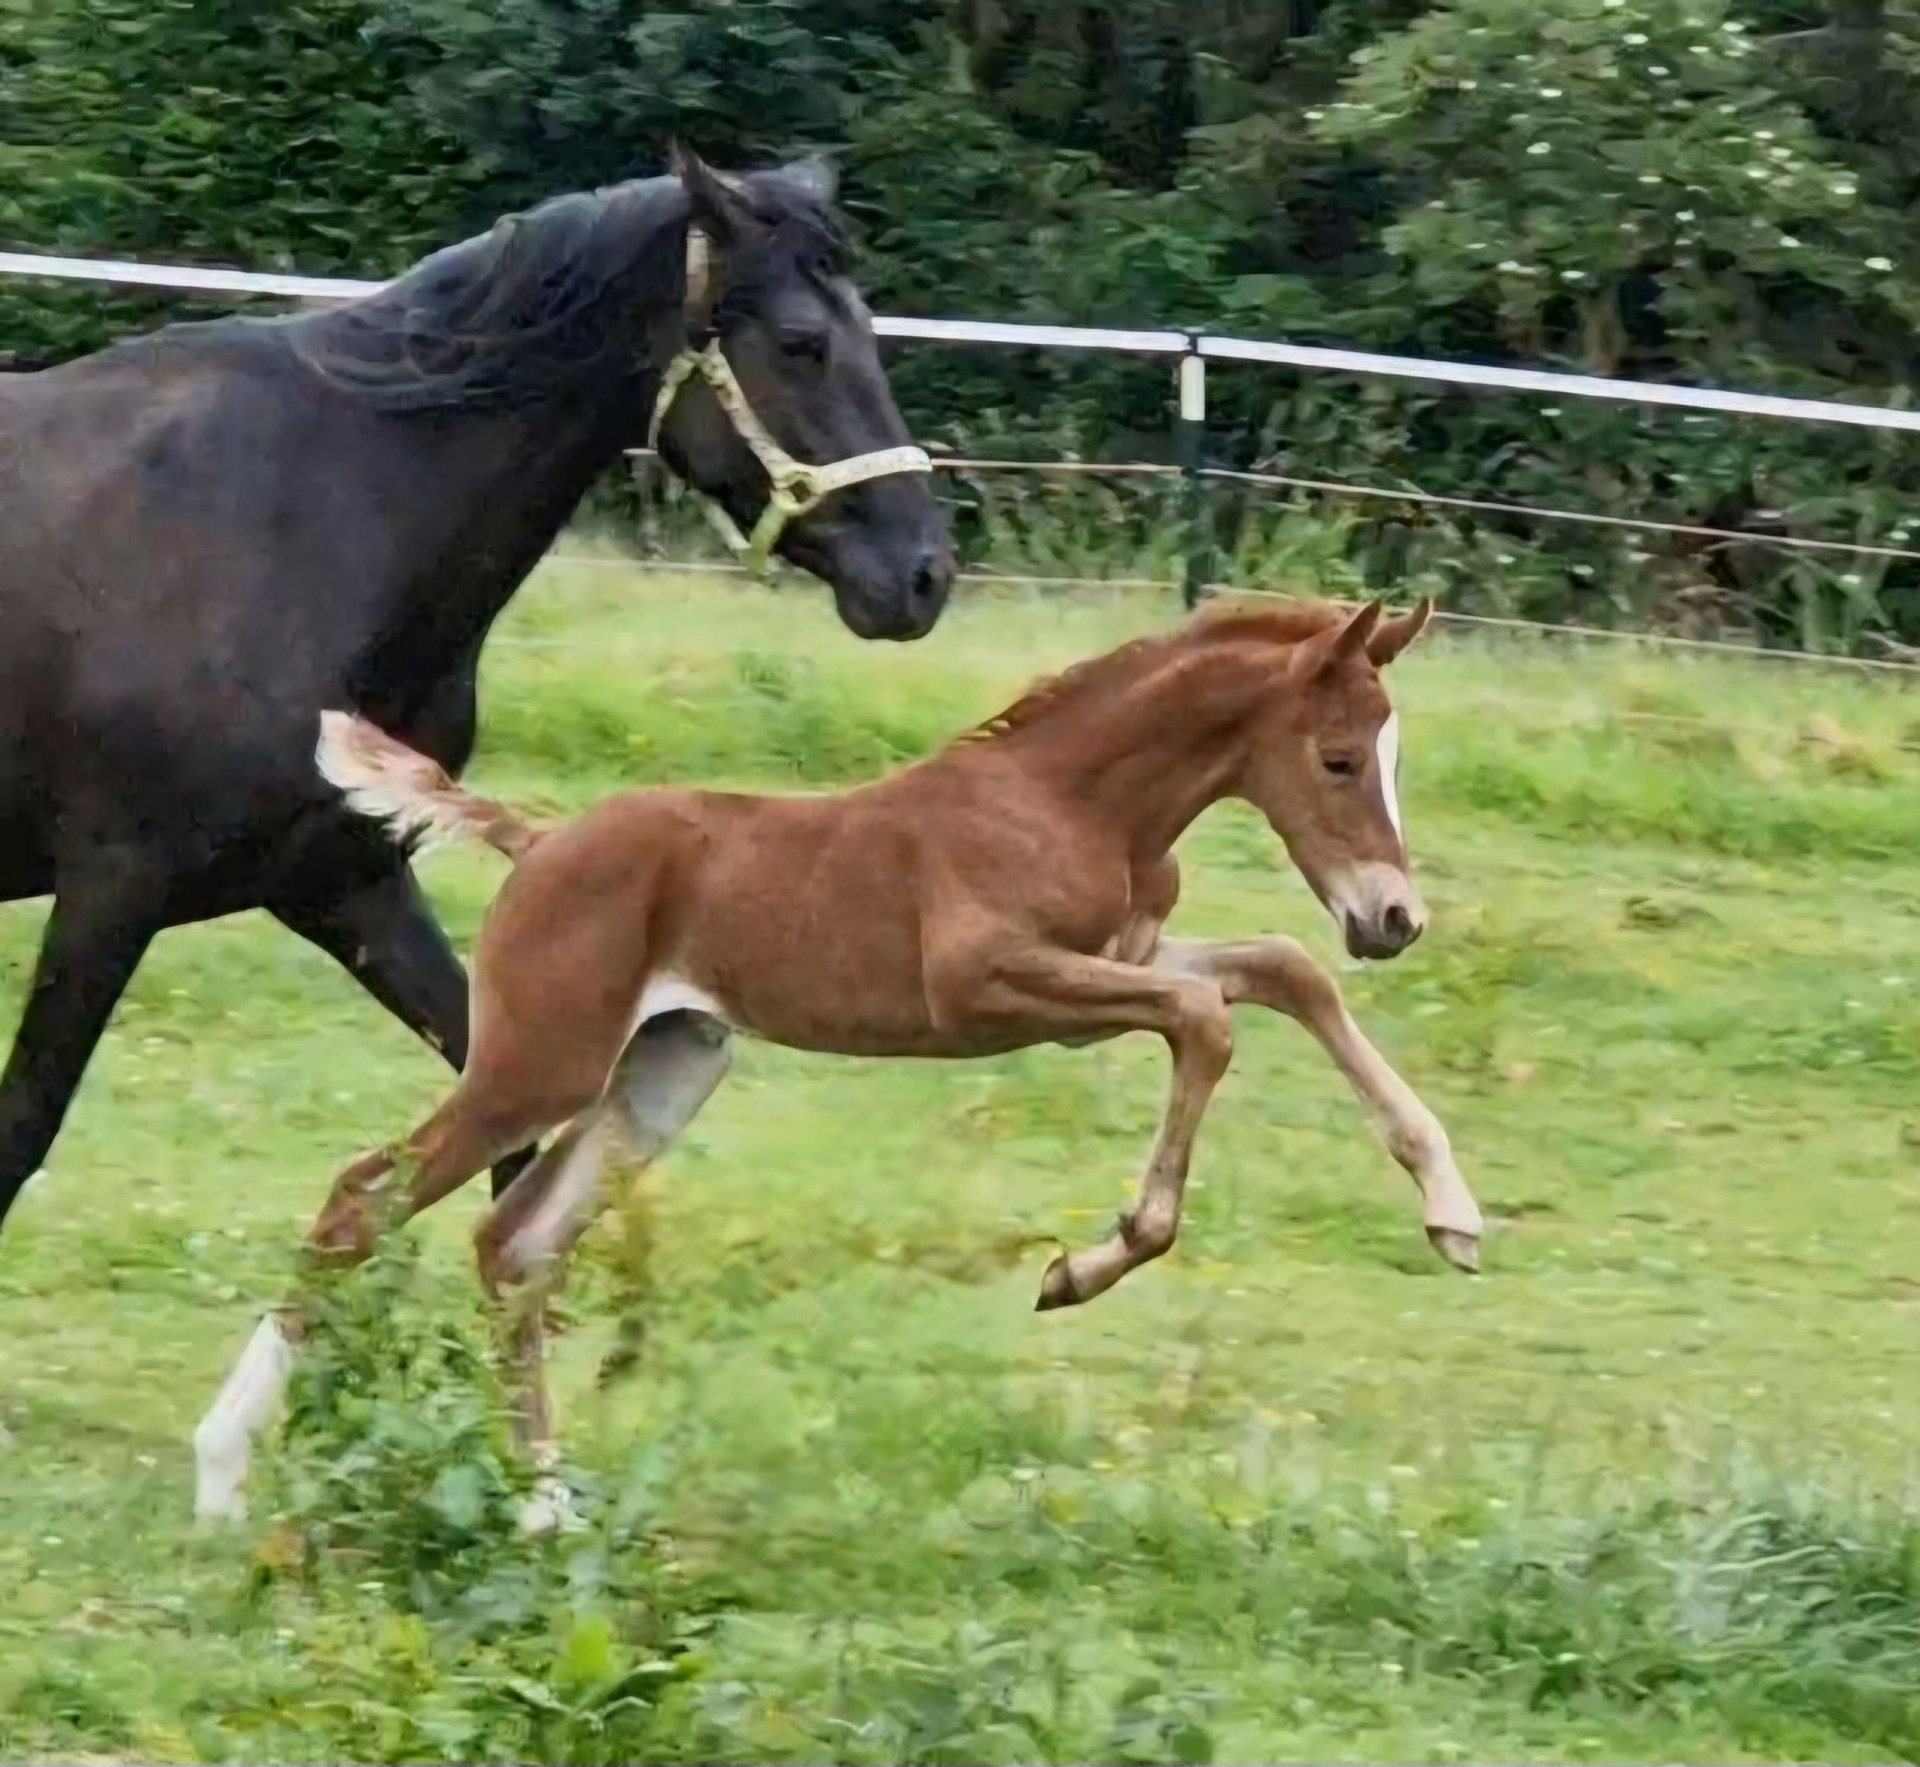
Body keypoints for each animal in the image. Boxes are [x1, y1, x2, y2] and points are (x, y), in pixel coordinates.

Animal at [0, 148, 953, 1244]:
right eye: (803, 344)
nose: (923, 574)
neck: (300, 526)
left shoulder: (345, 878)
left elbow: (497, 1115)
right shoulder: (112, 885)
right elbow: (21, 1133)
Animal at [192, 593, 1483, 1525]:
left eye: (1391, 758)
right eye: (1337, 759)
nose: (1392, 919)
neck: (1072, 801)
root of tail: (542, 840)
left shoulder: (1123, 959)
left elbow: (1280, 970)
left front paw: (1453, 1214)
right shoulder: (992, 985)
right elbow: (1208, 1019)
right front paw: (1090, 1262)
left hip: (663, 1074)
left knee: (513, 1244)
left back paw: (548, 1509)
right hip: (536, 1068)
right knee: (362, 1199)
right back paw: (222, 1477)